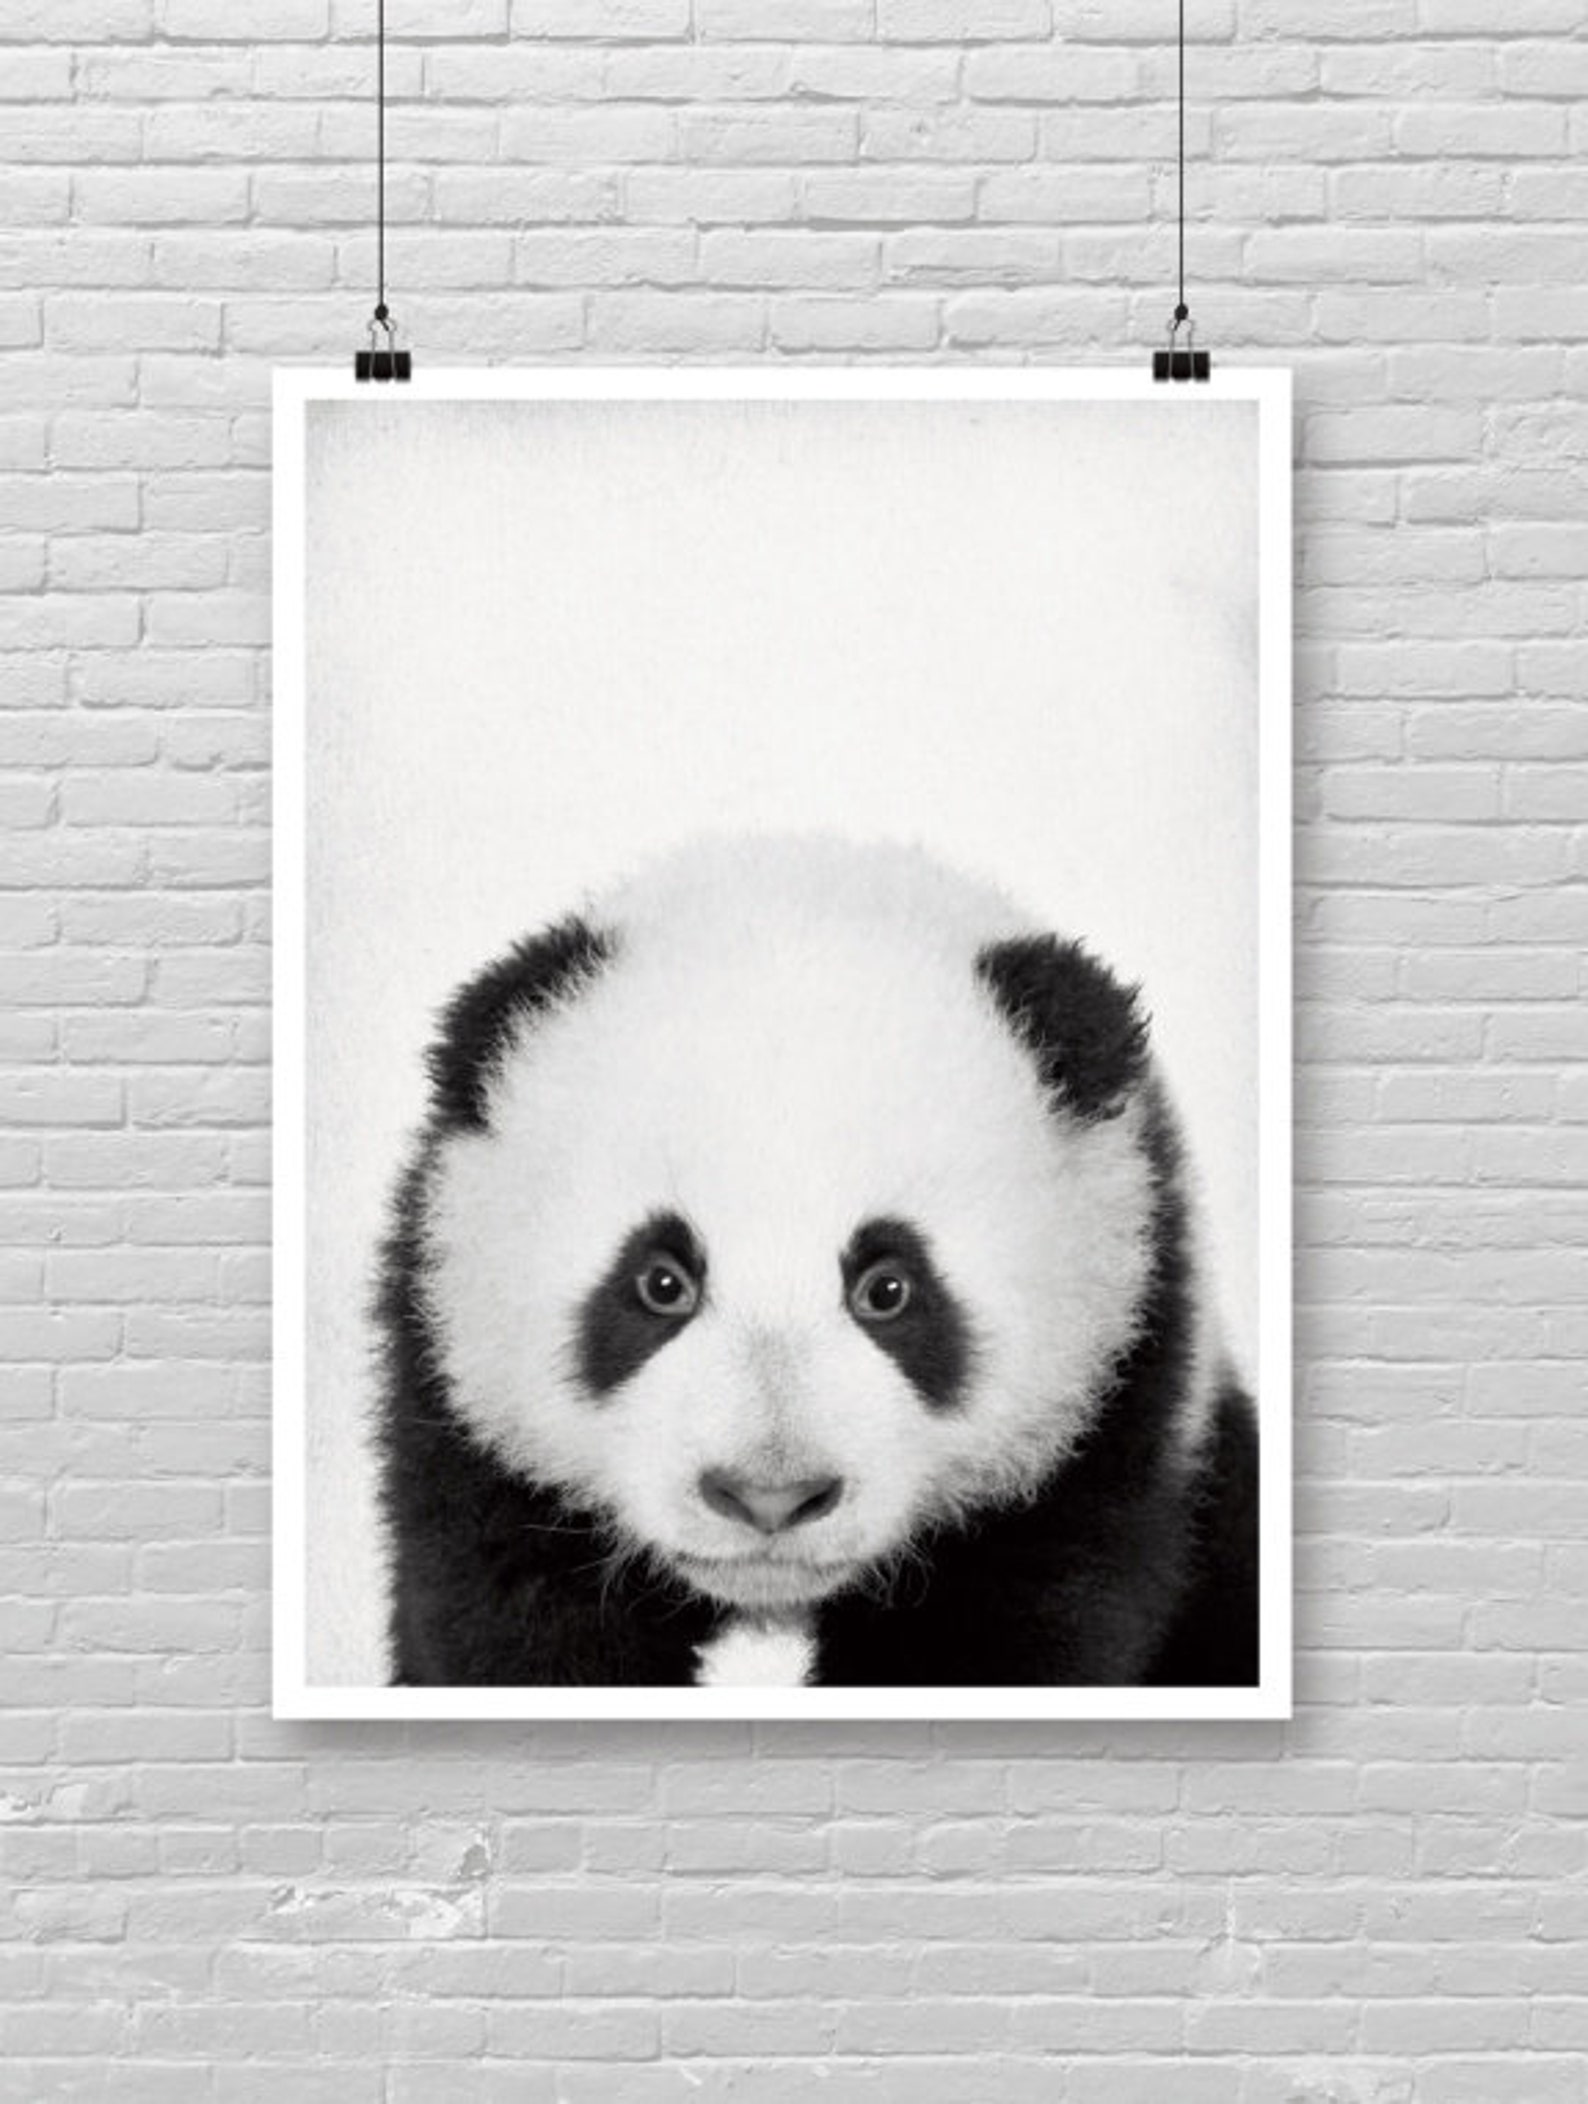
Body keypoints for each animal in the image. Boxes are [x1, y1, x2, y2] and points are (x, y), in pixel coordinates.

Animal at [375, 835, 1259, 1689]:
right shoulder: (467, 1418)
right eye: (661, 1283)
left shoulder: (1114, 1405)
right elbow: (513, 1615)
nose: (770, 1497)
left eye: (889, 1288)